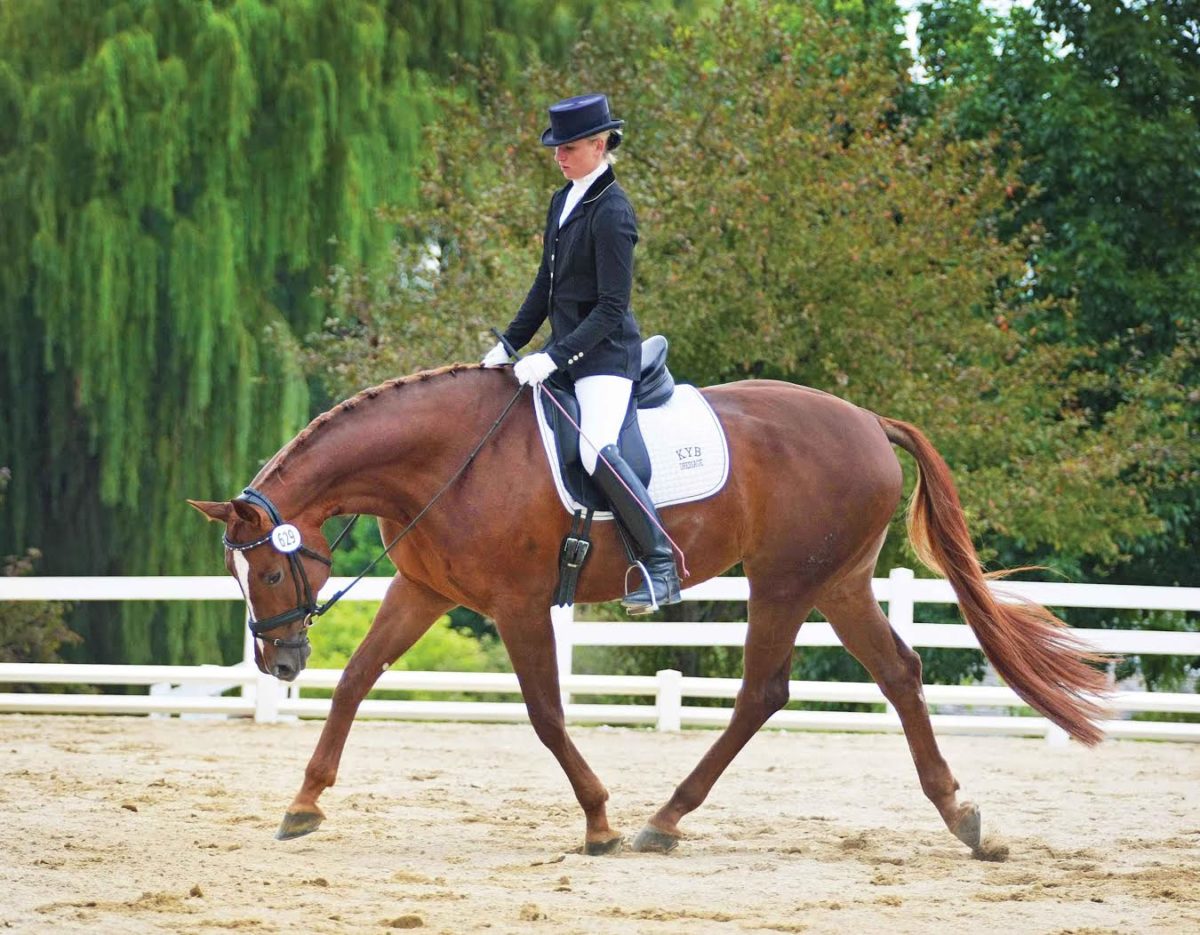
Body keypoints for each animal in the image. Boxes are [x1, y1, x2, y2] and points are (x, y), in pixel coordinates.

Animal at [190, 363, 1108, 858]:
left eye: (264, 571)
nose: (278, 661)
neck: (447, 459)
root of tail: (867, 421)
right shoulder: (426, 591)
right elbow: (355, 681)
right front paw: (304, 804)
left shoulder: (518, 604)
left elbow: (547, 713)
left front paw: (598, 820)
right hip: (838, 581)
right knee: (898, 672)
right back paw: (962, 815)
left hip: (784, 582)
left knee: (762, 692)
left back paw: (662, 819)